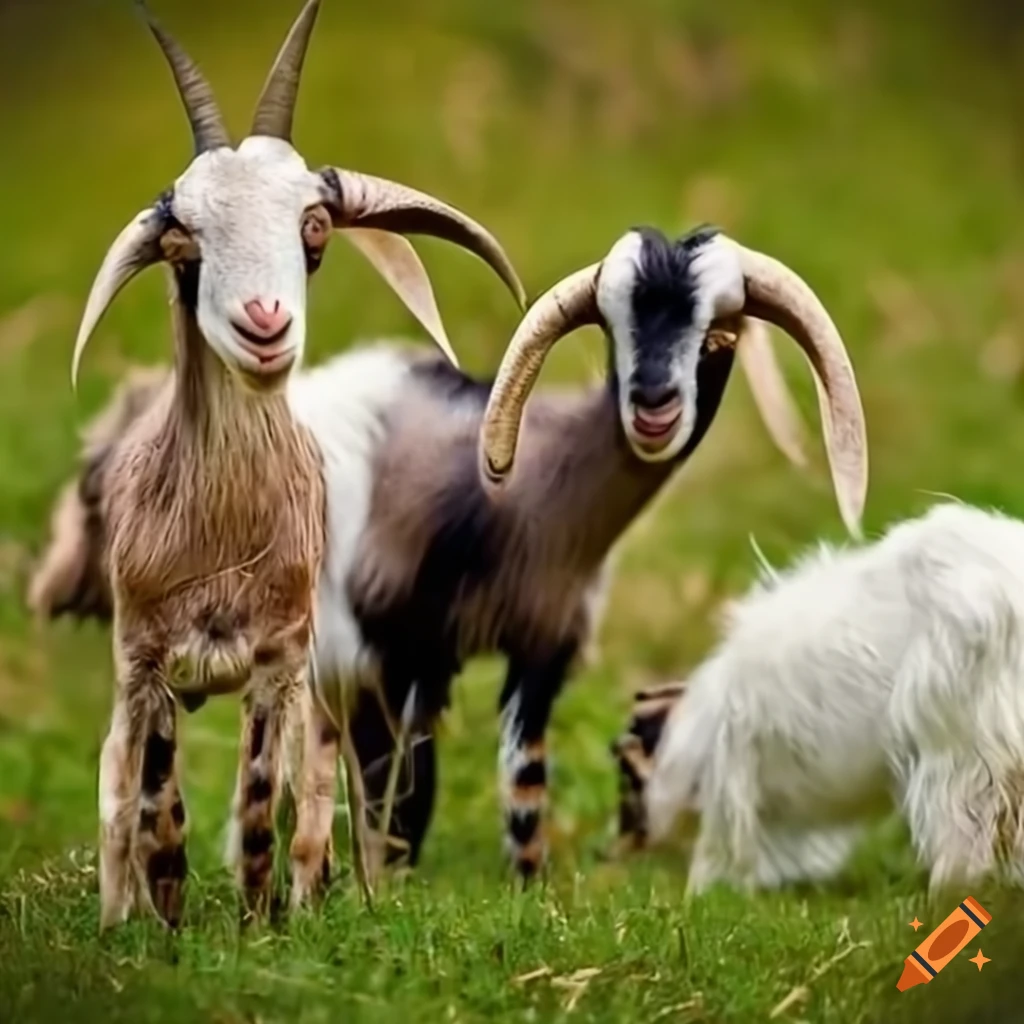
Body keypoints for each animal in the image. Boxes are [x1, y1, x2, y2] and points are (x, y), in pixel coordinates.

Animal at [35, 223, 868, 883]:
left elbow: (517, 786)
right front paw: (380, 889)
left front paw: (526, 889)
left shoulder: (535, 644)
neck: (521, 502)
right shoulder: (382, 648)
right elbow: (394, 790)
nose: (654, 405)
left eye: (718, 333)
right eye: (617, 326)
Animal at [70, 0, 525, 928]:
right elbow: (157, 800)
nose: (265, 322)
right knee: (117, 786)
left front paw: (258, 925)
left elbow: (257, 801)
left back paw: (308, 896)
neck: (220, 537)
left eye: (312, 230)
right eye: (183, 244)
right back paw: (121, 914)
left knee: (307, 789)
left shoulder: (279, 657)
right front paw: (169, 922)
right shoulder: (148, 656)